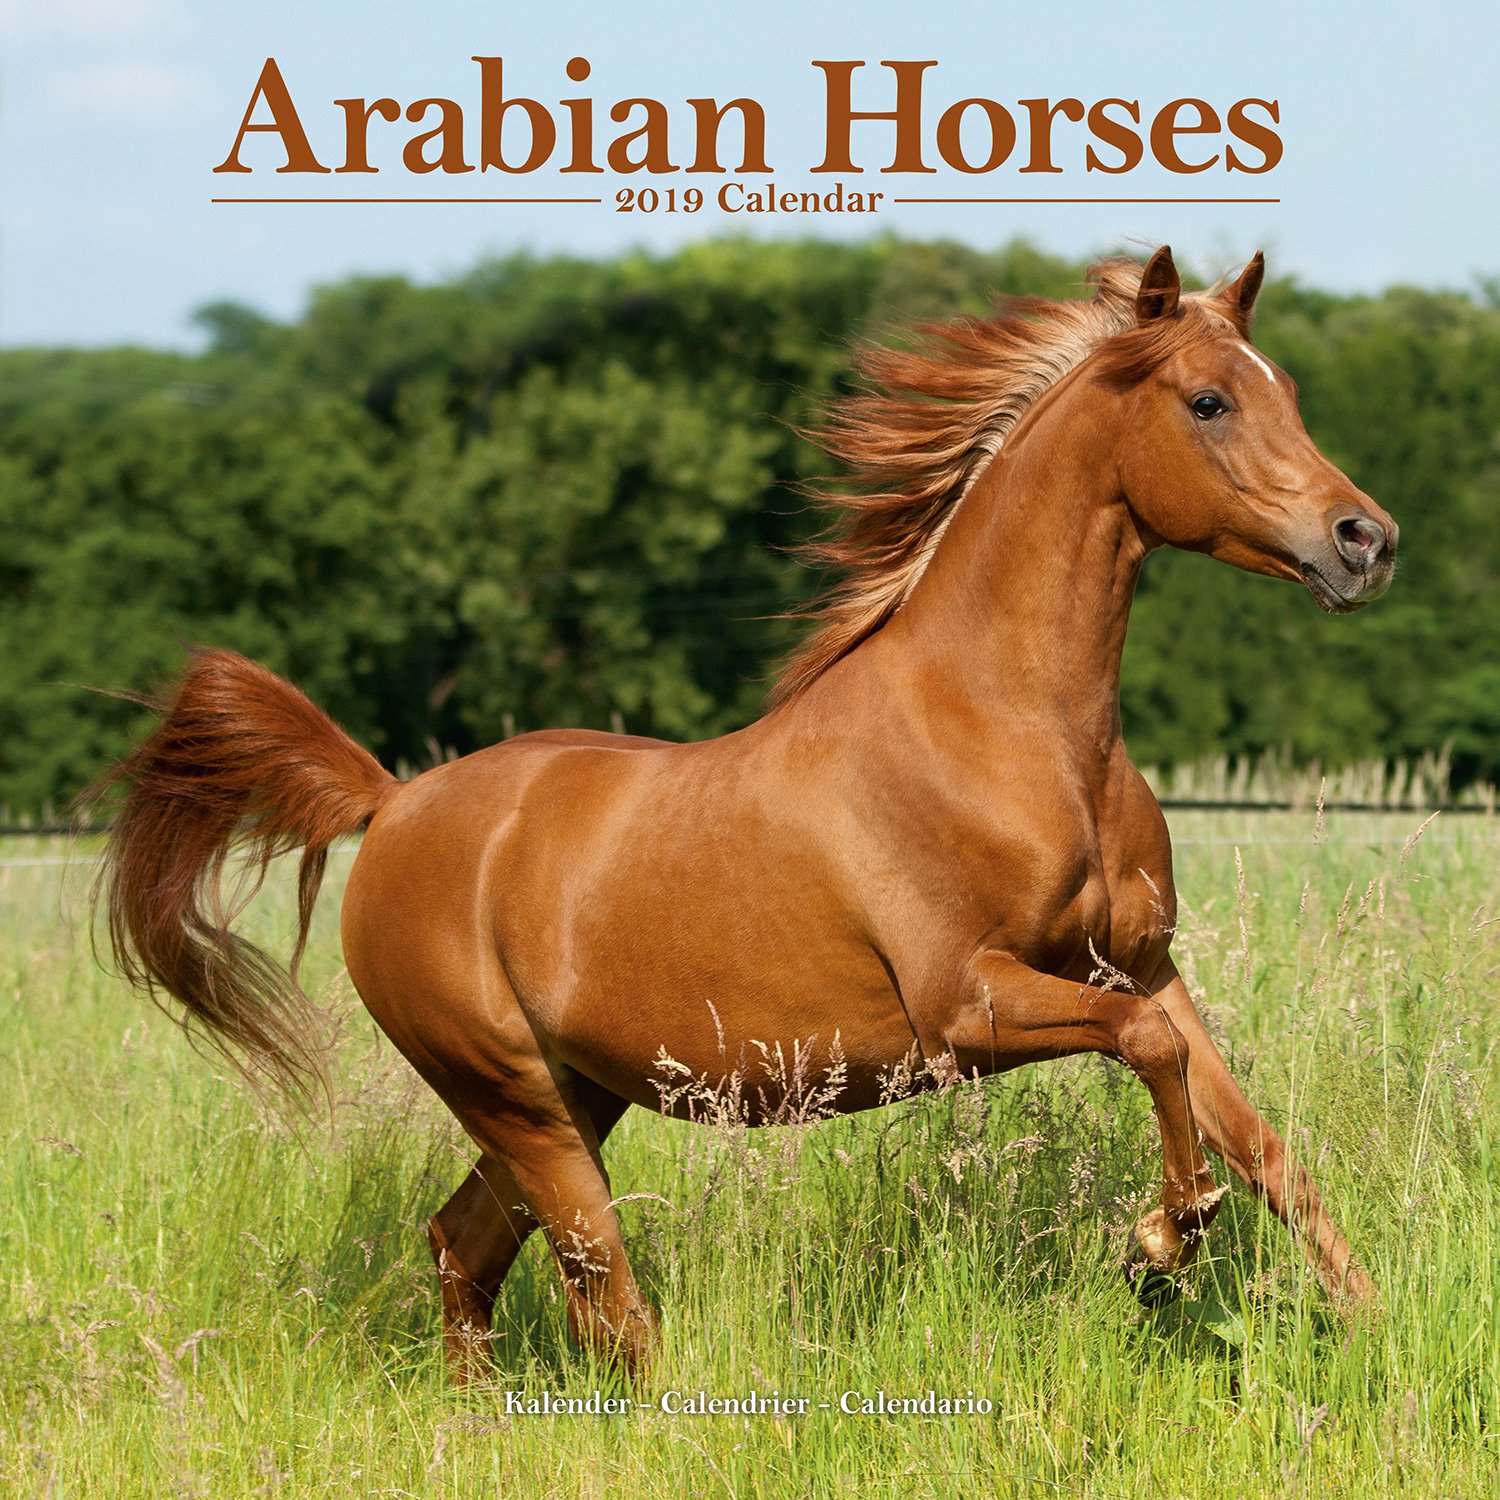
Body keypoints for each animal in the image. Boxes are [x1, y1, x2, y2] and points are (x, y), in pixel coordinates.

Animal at [95, 247, 1397, 1382]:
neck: (1009, 734)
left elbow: (1262, 1145)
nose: (1366, 541)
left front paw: (1371, 1327)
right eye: (1211, 401)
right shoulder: (967, 1009)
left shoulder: (1145, 967)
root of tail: (394, 800)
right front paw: (1160, 1245)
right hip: (515, 1097)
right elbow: (1151, 1059)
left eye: (1286, 392)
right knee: (606, 1300)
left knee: (466, 1251)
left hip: (575, 1094)